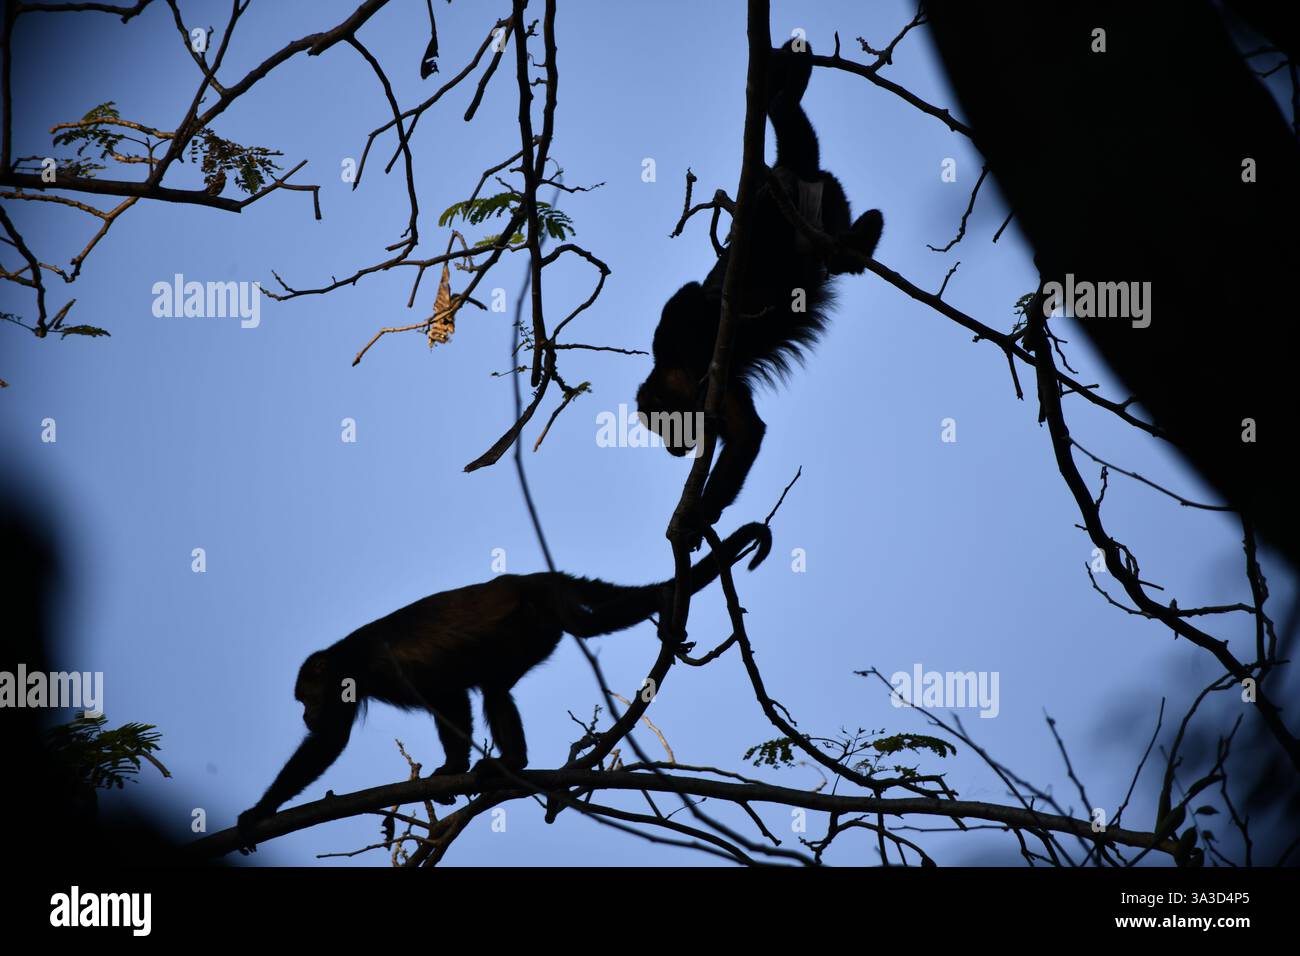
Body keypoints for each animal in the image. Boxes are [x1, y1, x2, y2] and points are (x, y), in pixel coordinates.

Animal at [235, 522, 771, 849]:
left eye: (306, 698)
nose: (305, 713)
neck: (342, 656)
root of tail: (538, 576)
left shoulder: (362, 668)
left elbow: (341, 735)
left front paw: (259, 810)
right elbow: (446, 701)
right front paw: (452, 771)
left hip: (540, 610)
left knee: (580, 629)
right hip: (530, 633)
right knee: (496, 687)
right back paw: (512, 762)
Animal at [636, 40, 883, 547]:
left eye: (664, 426)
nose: (671, 449)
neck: (683, 365)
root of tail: (793, 170)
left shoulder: (699, 353)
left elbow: (692, 297)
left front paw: (695, 517)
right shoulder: (724, 380)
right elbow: (747, 434)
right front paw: (698, 518)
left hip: (793, 206)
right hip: (830, 199)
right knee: (842, 243)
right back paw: (863, 237)